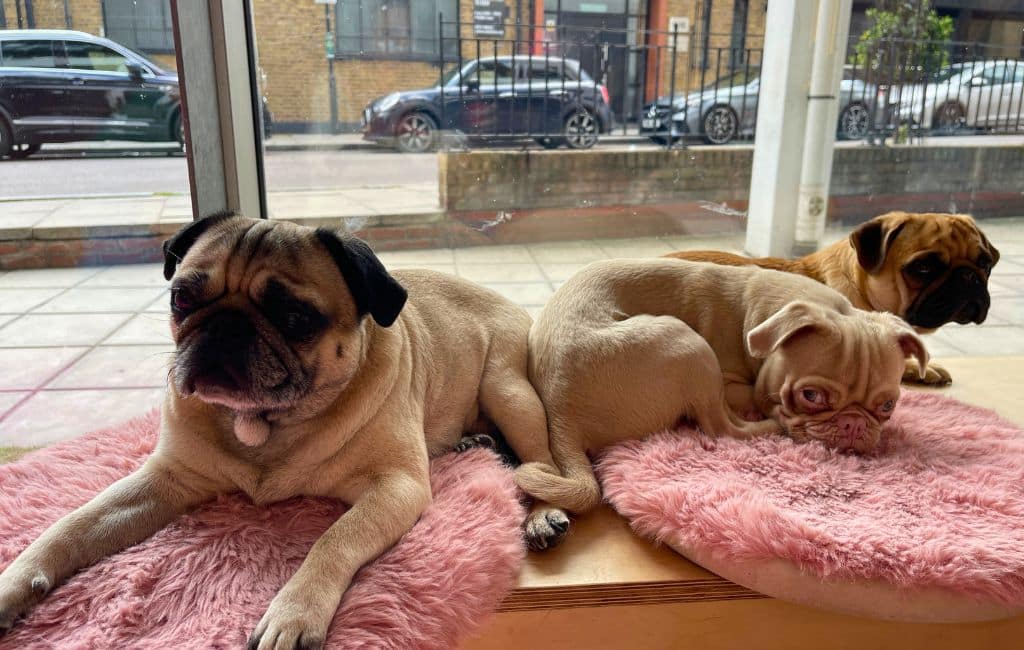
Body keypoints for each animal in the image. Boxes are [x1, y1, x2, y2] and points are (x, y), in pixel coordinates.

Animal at [0, 213, 562, 649]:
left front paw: (294, 613)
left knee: (543, 464)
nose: (225, 326)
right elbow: (72, 525)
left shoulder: (395, 487)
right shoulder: (164, 481)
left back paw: (541, 515)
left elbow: (334, 540)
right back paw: (472, 442)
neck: (263, 423)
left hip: (508, 391)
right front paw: (13, 583)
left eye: (295, 318)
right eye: (182, 299)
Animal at [515, 258, 928, 550]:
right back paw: (768, 427)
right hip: (688, 344)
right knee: (720, 427)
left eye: (888, 405)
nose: (853, 424)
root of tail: (562, 412)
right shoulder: (731, 382)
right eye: (811, 396)